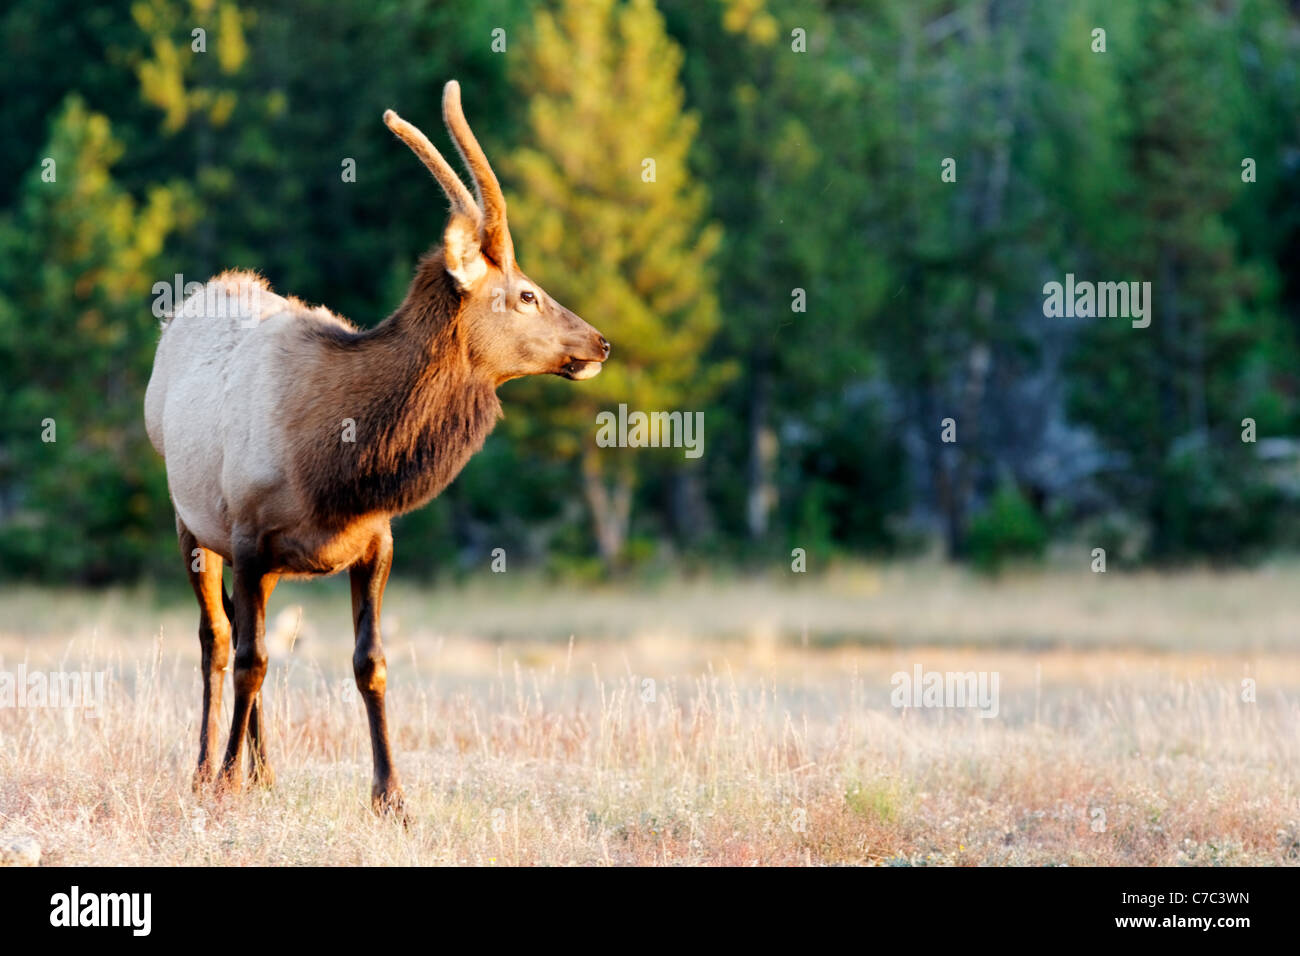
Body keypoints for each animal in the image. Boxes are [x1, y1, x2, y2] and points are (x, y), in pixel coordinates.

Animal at [143, 80, 610, 816]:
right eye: (527, 294)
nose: (600, 343)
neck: (337, 468)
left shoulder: (376, 541)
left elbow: (369, 663)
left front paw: (391, 797)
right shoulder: (246, 535)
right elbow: (247, 659)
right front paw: (223, 782)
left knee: (253, 638)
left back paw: (265, 771)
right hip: (191, 524)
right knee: (216, 641)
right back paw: (206, 769)